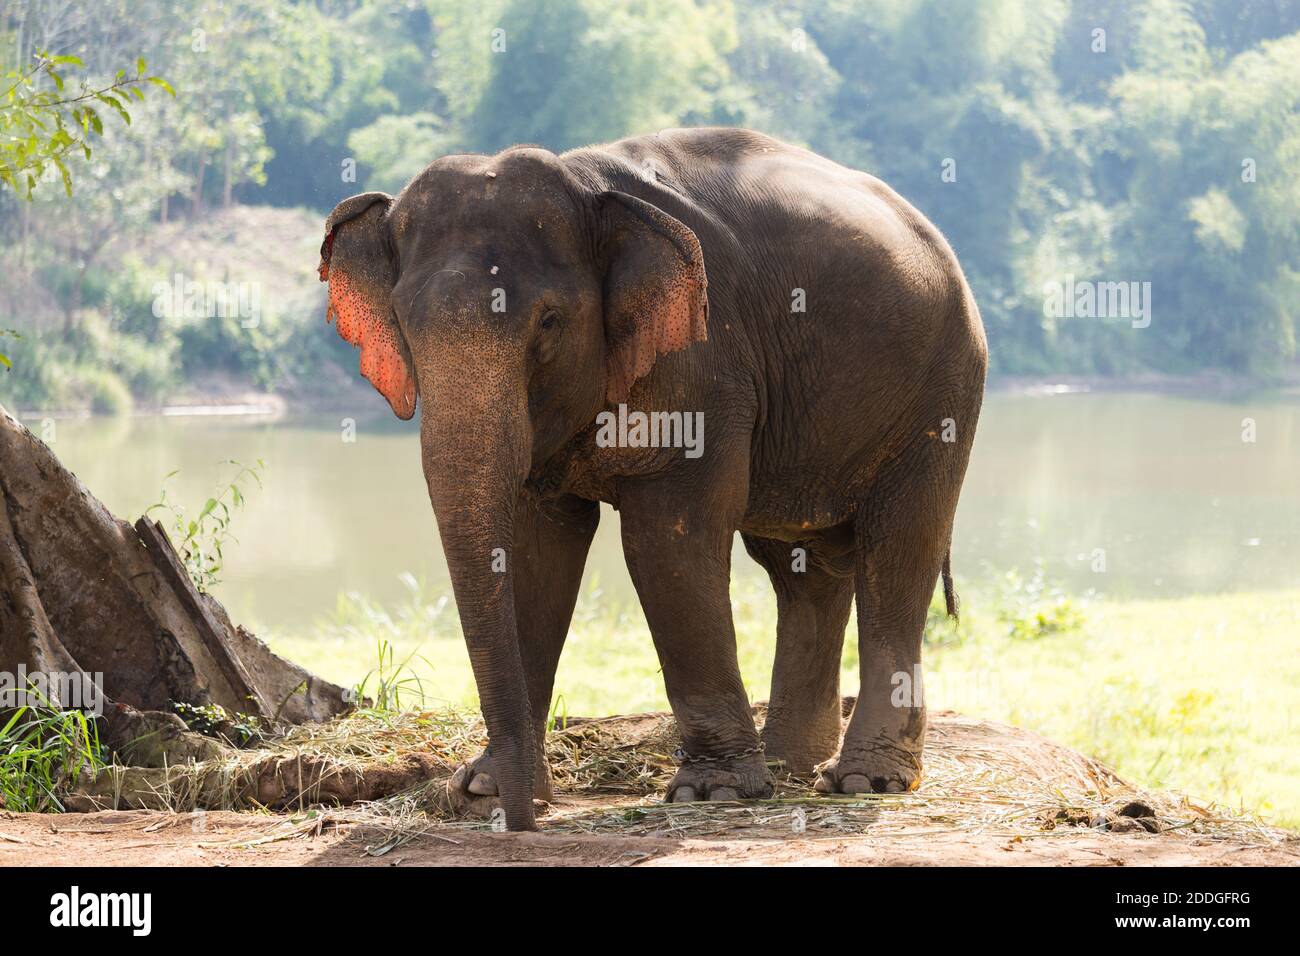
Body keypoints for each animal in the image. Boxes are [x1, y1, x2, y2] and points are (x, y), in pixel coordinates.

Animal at [318, 127, 987, 831]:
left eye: (549, 322)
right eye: (405, 325)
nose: (520, 823)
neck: (584, 184)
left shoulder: (704, 364)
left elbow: (667, 542)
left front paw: (715, 793)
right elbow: (533, 552)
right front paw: (485, 788)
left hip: (941, 392)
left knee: (898, 550)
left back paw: (863, 780)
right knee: (802, 569)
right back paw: (790, 767)